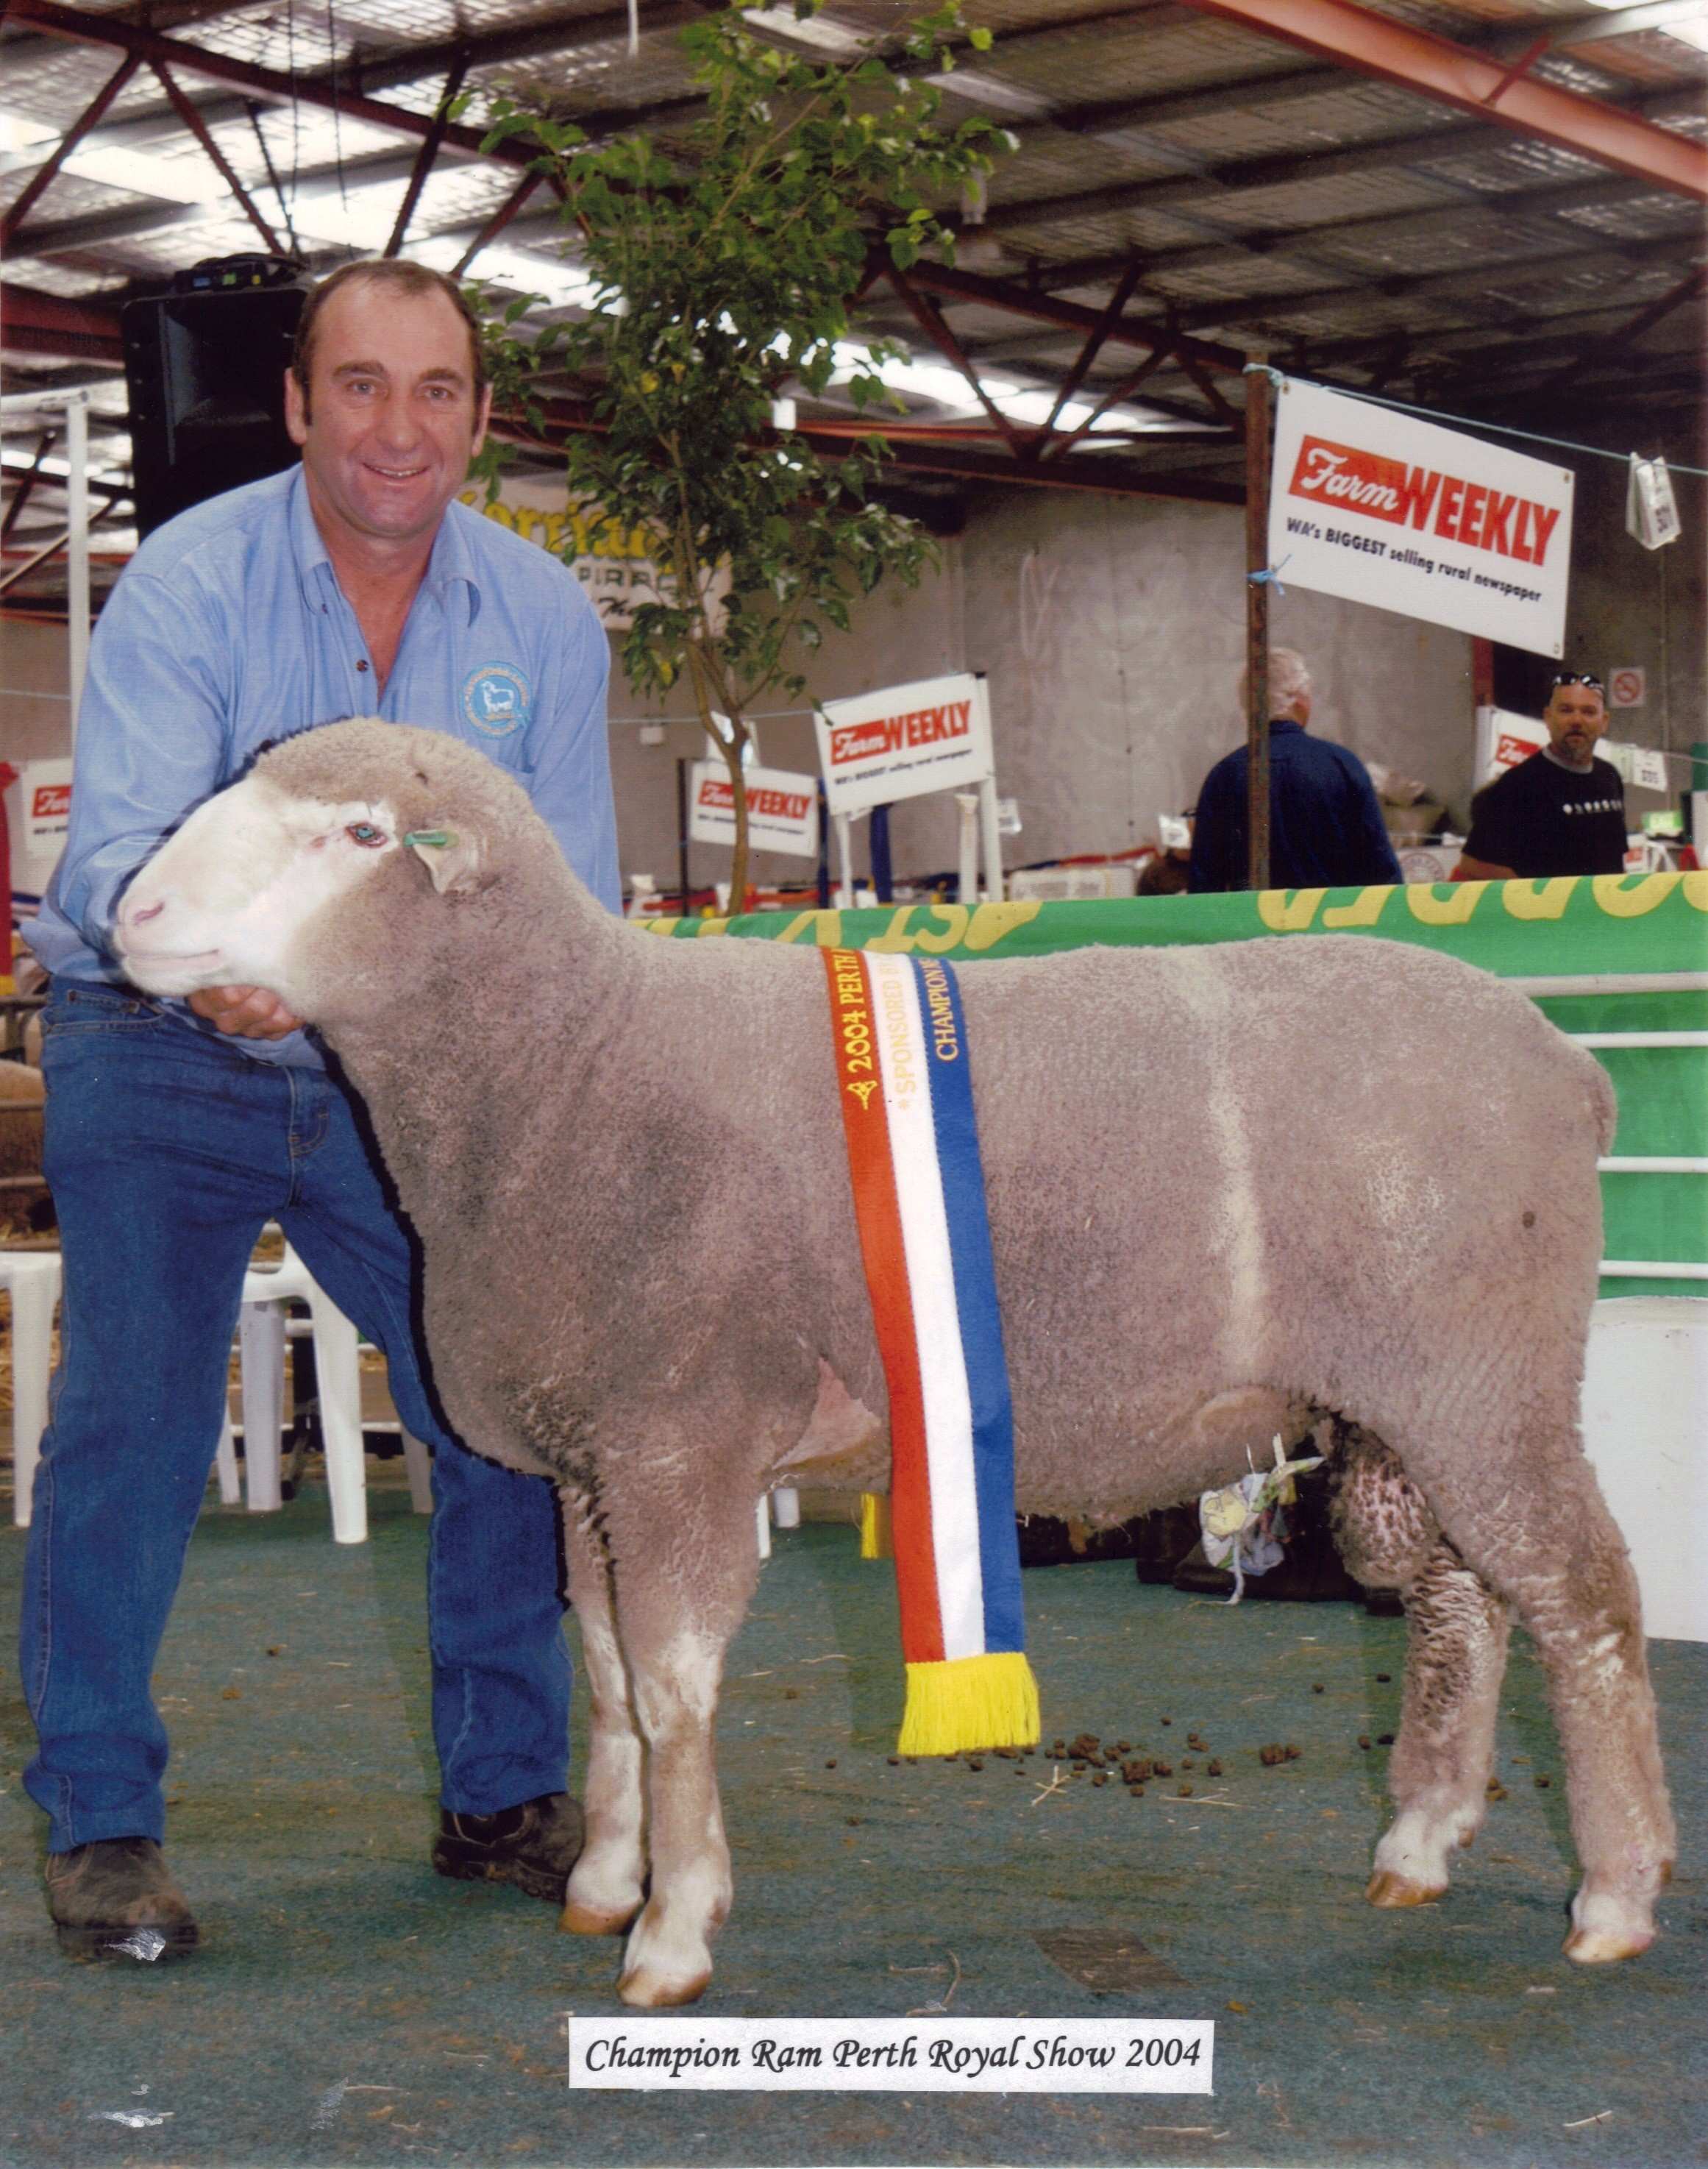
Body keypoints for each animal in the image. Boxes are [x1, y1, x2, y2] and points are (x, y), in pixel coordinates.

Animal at [115, 717, 1674, 2009]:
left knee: (1583, 1599)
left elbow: (673, 1683)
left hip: (1485, 1373)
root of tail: (1566, 1065)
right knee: (1462, 1599)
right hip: (1413, 1396)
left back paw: (1613, 1894)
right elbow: (606, 1672)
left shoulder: (679, 1434)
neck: (562, 1068)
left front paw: (670, 1931)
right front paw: (607, 1879)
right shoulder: (588, 1453)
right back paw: (1420, 1838)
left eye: (359, 833)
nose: (127, 913)